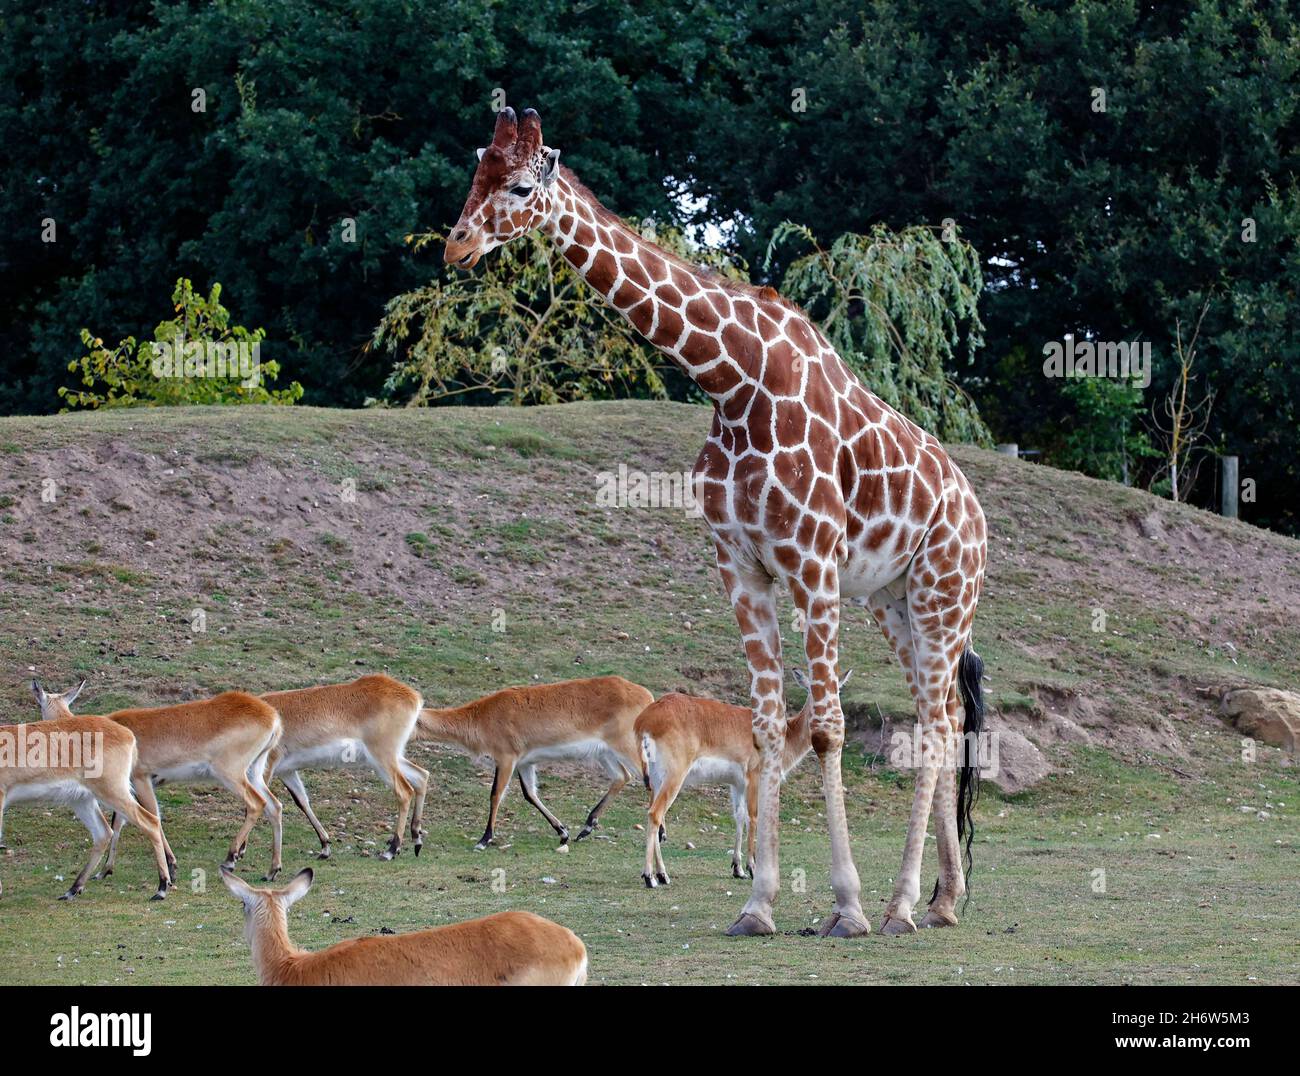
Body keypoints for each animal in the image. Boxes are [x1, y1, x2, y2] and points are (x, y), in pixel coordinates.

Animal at [445, 107, 988, 937]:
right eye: (474, 173)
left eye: (519, 186)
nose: (457, 246)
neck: (731, 376)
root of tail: (976, 511)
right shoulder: (741, 565)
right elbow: (762, 731)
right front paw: (758, 905)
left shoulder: (812, 561)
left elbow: (824, 727)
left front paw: (846, 908)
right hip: (893, 601)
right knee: (947, 716)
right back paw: (943, 898)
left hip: (943, 589)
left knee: (933, 721)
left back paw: (899, 906)